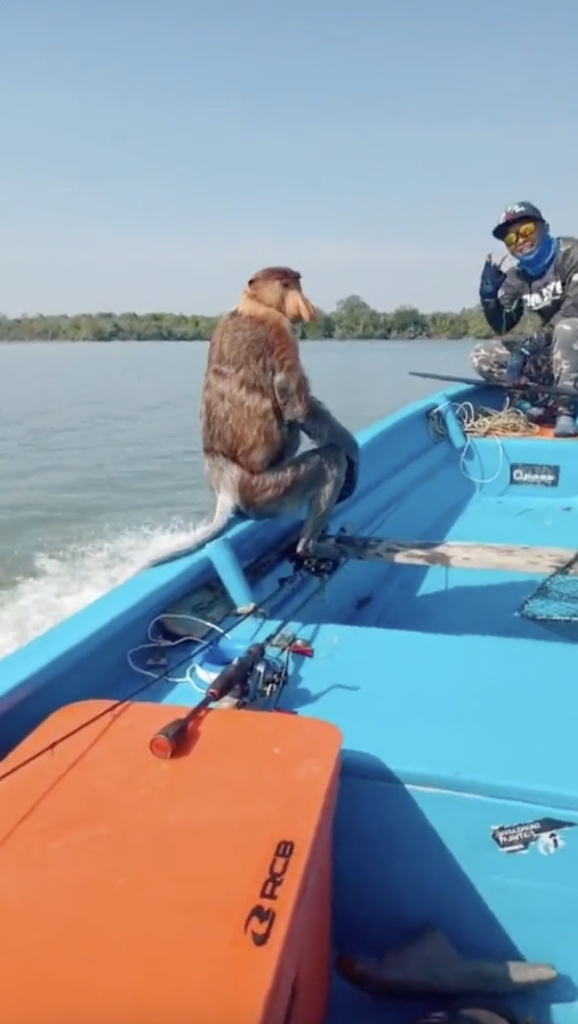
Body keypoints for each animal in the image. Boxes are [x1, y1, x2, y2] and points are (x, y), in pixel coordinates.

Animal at [146, 266, 359, 570]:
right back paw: (310, 547)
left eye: (296, 283)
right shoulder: (280, 330)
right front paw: (354, 451)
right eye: (286, 284)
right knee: (329, 461)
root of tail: (225, 482)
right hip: (266, 490)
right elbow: (297, 406)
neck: (252, 306)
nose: (304, 303)